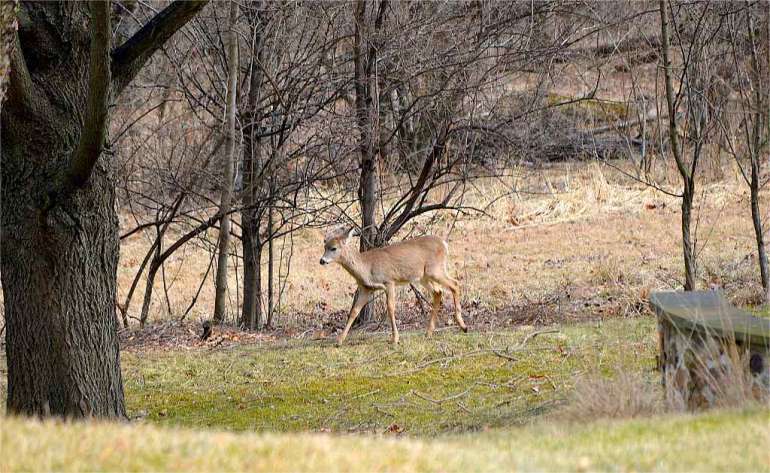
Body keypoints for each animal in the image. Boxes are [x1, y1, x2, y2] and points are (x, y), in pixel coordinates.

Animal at [320, 226, 468, 346]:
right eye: (324, 246)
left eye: (333, 248)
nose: (322, 260)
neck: (366, 267)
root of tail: (444, 243)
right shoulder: (367, 288)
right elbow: (354, 311)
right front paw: (339, 340)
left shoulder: (389, 281)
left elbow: (390, 308)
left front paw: (395, 339)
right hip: (423, 277)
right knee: (438, 292)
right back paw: (429, 332)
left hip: (435, 270)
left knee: (455, 284)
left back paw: (463, 326)